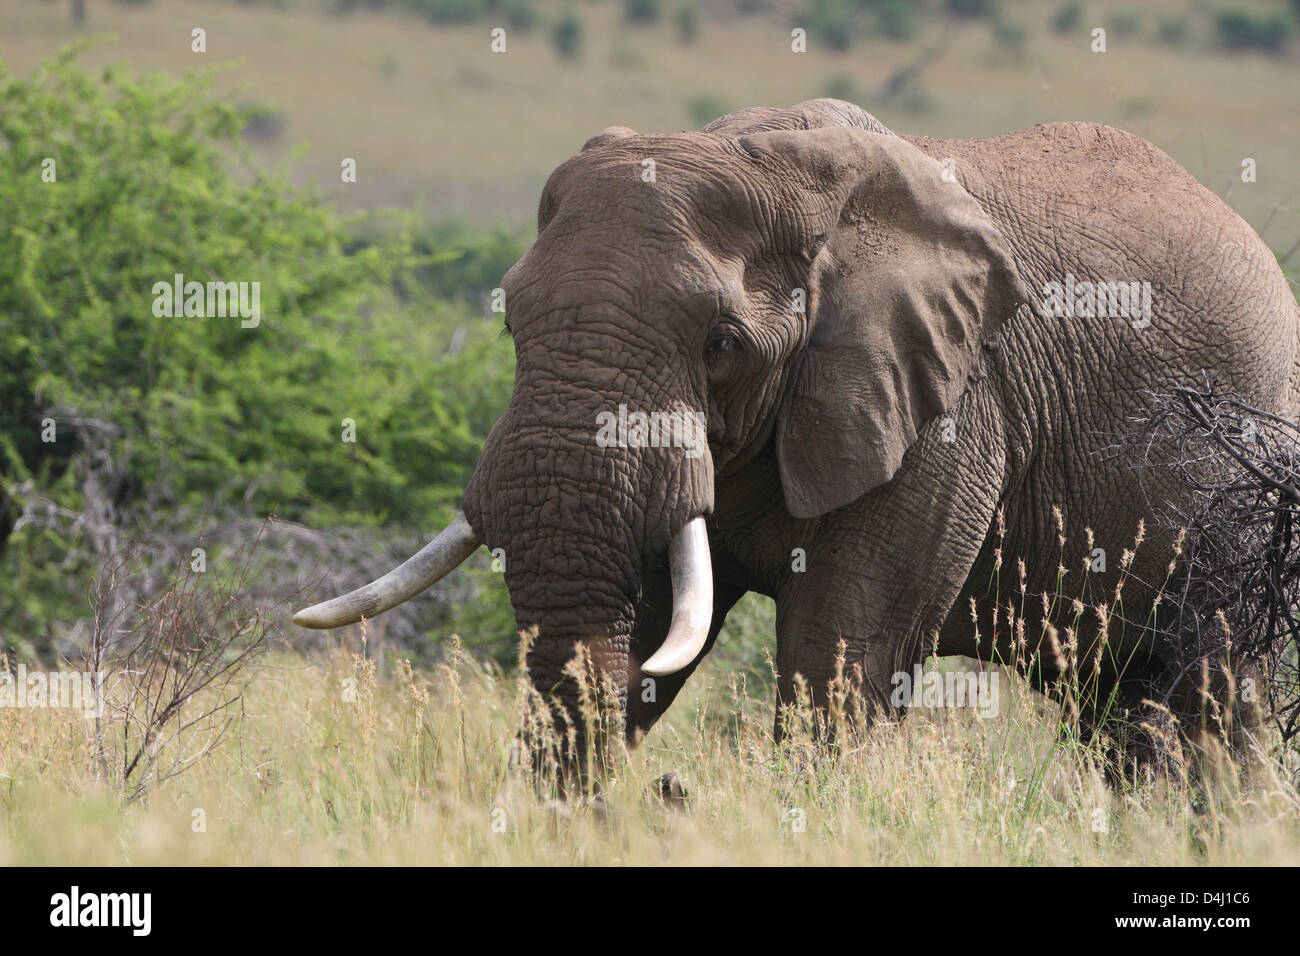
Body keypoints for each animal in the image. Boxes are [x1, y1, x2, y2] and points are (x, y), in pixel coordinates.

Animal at [294, 99, 1299, 779]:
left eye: (721, 345)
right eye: (510, 323)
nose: (667, 792)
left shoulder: (948, 408)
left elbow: (842, 657)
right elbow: (650, 624)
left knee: (1213, 694)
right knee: (1122, 706)